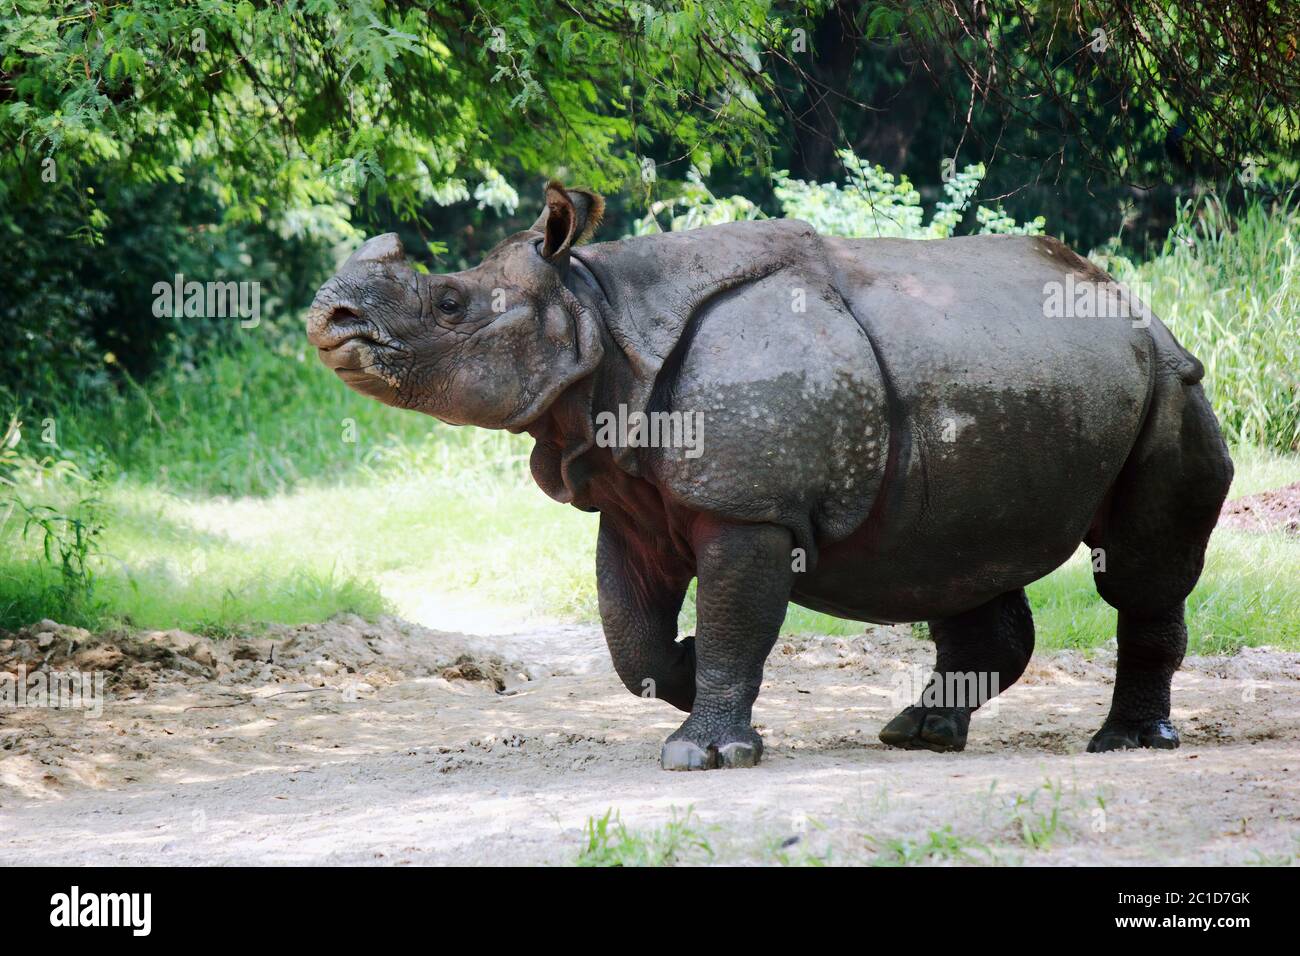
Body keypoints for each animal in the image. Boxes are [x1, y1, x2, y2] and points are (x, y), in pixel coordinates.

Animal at [306, 182, 1233, 771]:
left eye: (449, 305)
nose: (330, 317)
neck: (599, 313)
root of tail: (1134, 304)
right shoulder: (629, 495)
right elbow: (629, 638)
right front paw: (682, 676)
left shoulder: (747, 507)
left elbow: (730, 617)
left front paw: (702, 752)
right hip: (1014, 375)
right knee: (955, 557)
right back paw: (920, 734)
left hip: (1169, 386)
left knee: (1138, 568)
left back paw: (1123, 745)